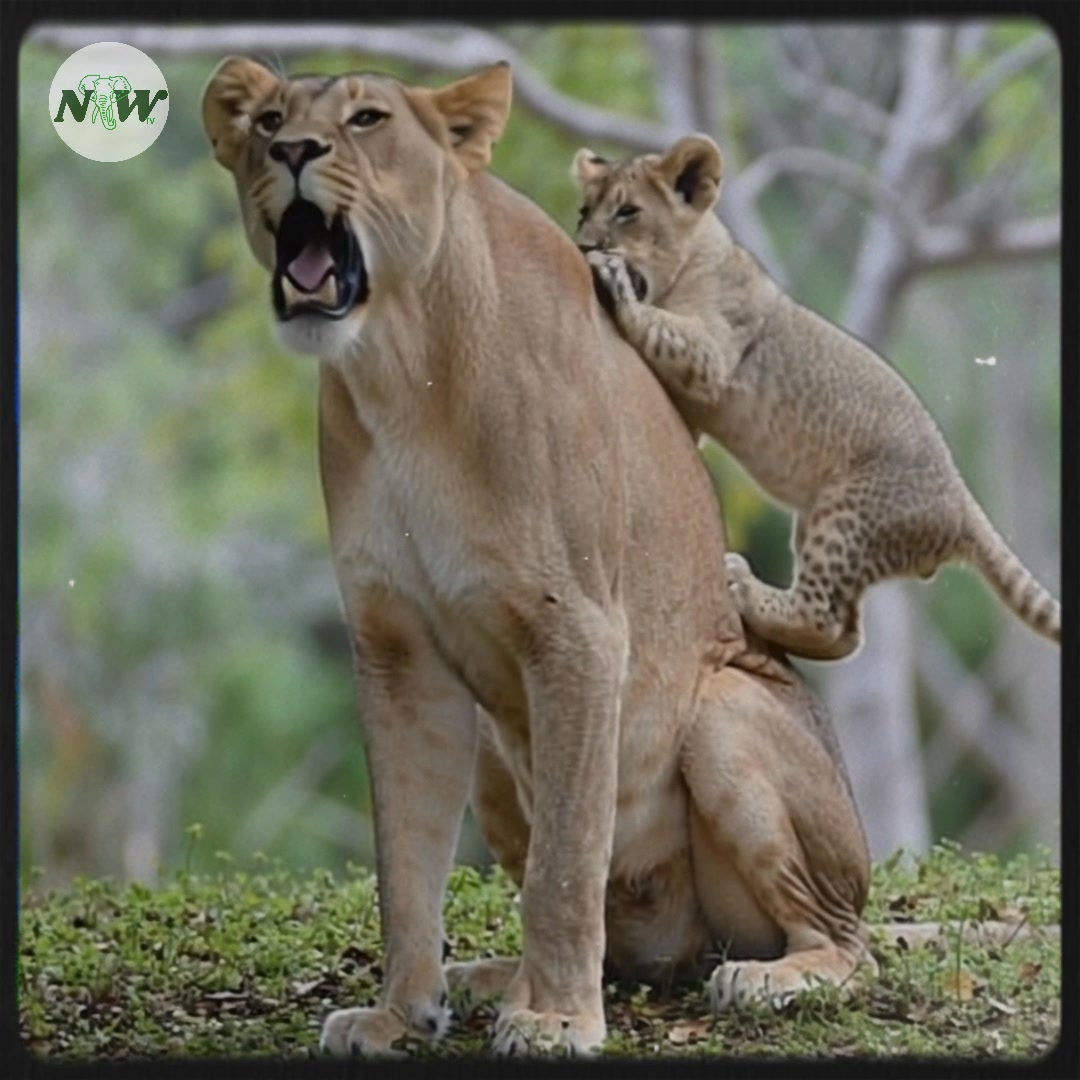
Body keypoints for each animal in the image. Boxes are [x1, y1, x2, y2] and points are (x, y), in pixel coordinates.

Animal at [201, 57, 876, 1056]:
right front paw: (401, 1014)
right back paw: (493, 978)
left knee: (840, 938)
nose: (291, 151)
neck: (398, 371)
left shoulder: (581, 632)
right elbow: (405, 862)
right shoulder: (395, 648)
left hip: (721, 717)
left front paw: (556, 1021)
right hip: (493, 747)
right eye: (270, 120)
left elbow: (565, 861)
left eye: (367, 119)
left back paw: (769, 976)